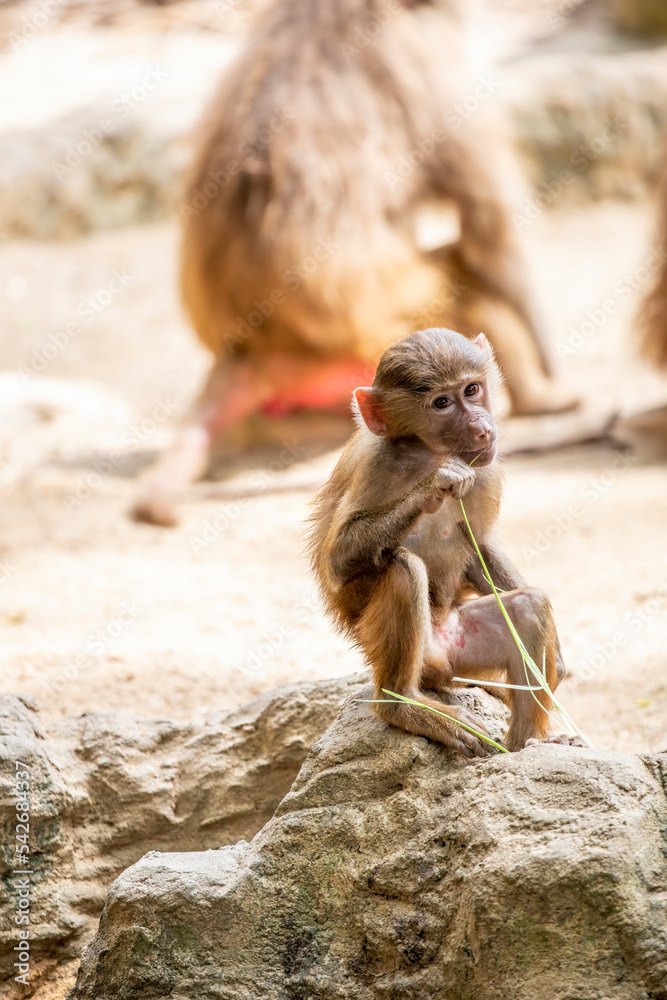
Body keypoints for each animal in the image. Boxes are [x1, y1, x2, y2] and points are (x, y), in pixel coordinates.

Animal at [133, 0, 577, 527]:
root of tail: (249, 347)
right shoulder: (429, 69)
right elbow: (489, 225)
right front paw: (556, 372)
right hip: (386, 325)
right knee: (464, 285)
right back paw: (540, 401)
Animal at [310, 327, 580, 756]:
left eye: (471, 389)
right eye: (441, 403)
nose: (482, 429)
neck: (424, 452)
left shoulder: (485, 471)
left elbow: (479, 546)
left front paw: (559, 656)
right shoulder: (375, 467)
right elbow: (337, 563)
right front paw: (435, 483)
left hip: (462, 651)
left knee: (528, 606)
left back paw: (530, 741)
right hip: (422, 660)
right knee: (403, 568)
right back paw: (403, 706)